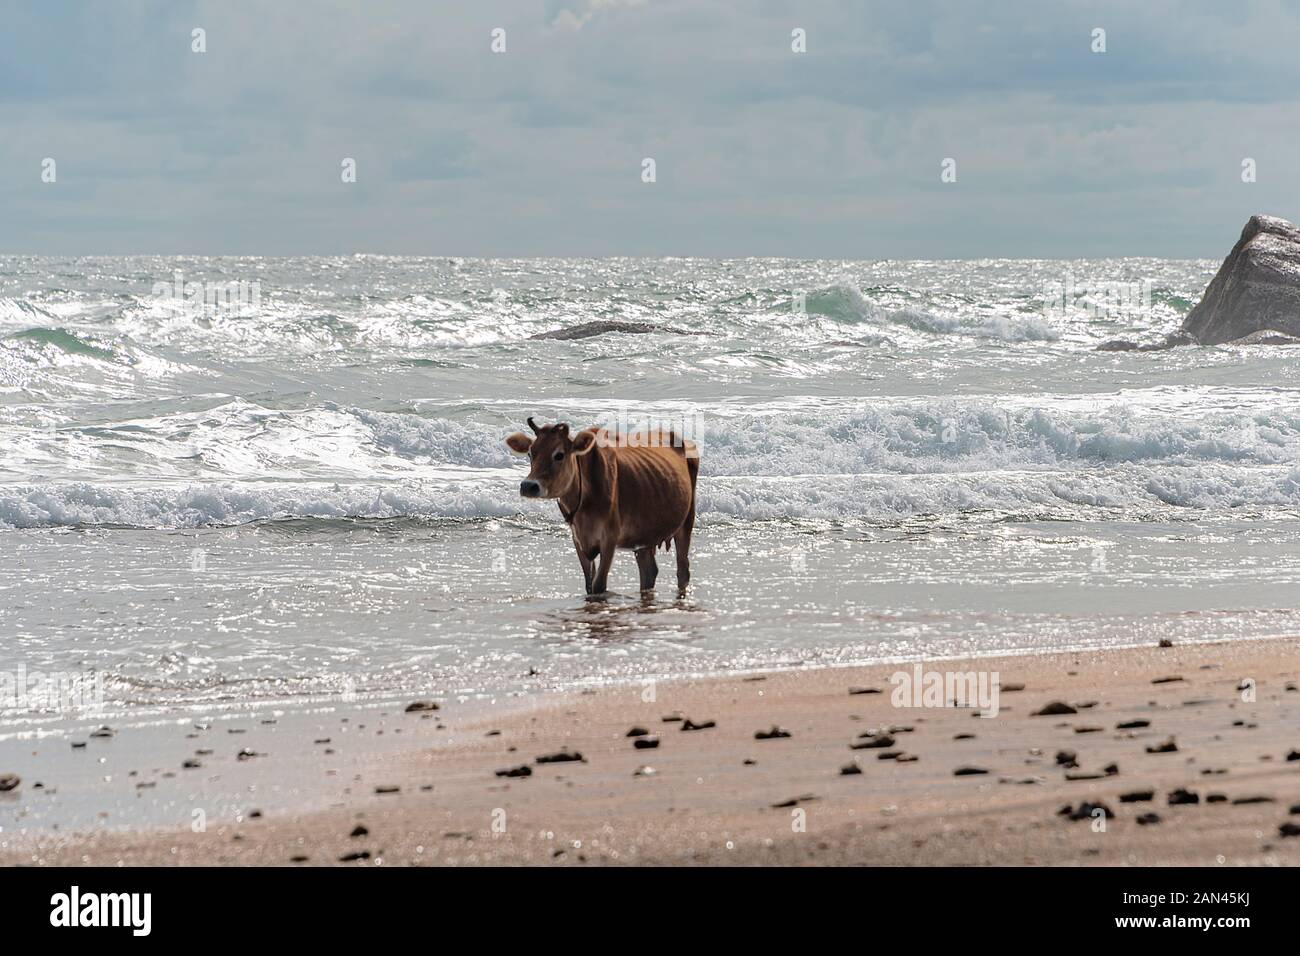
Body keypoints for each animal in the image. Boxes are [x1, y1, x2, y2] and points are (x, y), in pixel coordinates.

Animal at [505, 417, 698, 596]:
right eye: (530, 453)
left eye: (559, 454)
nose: (528, 486)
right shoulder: (578, 540)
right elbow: (589, 585)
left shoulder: (609, 539)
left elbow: (598, 585)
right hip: (644, 535)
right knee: (649, 571)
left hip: (687, 520)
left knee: (683, 570)